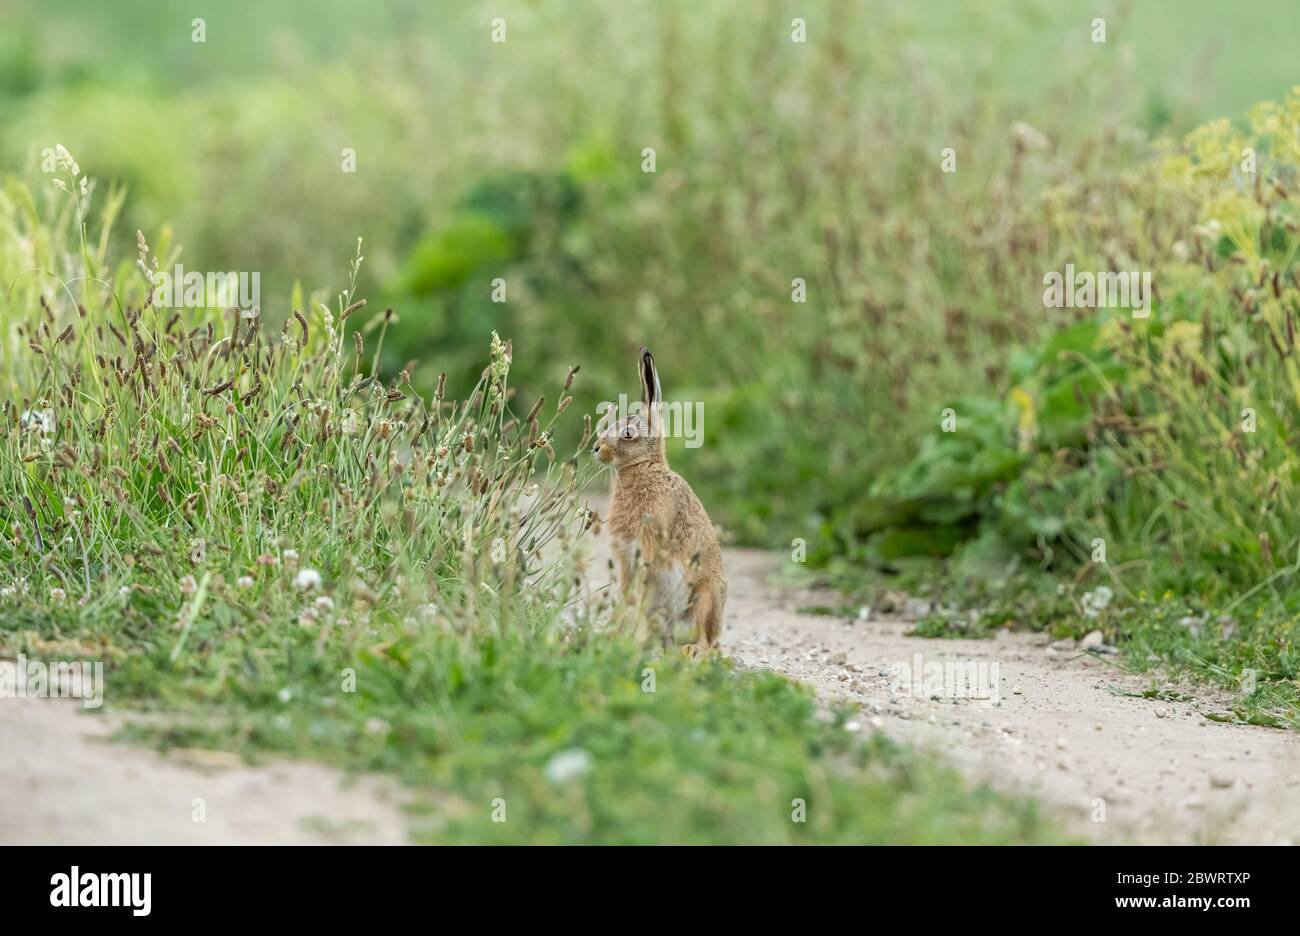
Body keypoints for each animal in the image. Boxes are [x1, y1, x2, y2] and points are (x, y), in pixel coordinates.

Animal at [592, 347, 726, 656]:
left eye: (628, 433)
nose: (596, 448)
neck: (644, 467)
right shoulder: (628, 562)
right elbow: (625, 601)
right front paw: (613, 636)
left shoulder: (649, 556)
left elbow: (639, 603)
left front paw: (628, 641)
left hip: (704, 598)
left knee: (707, 641)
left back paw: (691, 651)